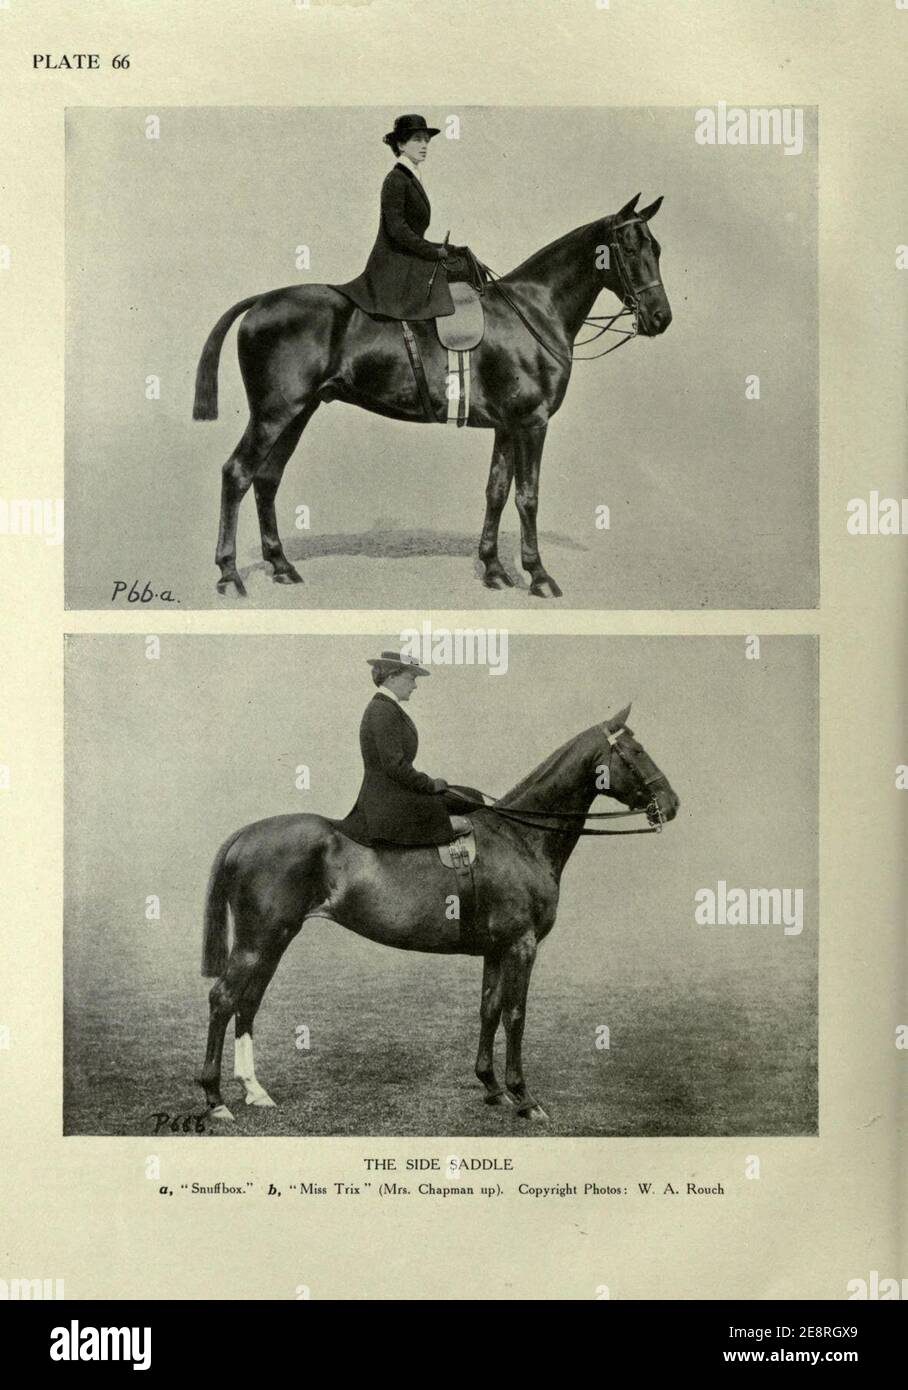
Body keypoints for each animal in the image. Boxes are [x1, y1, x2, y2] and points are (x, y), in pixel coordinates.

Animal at [192, 194, 671, 600]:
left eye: (658, 249)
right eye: (630, 249)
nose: (660, 318)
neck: (532, 311)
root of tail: (262, 301)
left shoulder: (506, 426)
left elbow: (497, 491)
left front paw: (493, 569)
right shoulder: (532, 423)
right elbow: (527, 497)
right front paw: (538, 575)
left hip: (298, 412)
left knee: (267, 478)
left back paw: (281, 565)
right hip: (273, 413)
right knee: (237, 473)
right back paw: (230, 574)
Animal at [197, 705, 679, 1124]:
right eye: (635, 751)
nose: (672, 804)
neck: (519, 837)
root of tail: (246, 834)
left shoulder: (496, 950)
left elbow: (489, 1008)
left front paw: (492, 1088)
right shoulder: (521, 946)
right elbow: (516, 1015)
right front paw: (524, 1098)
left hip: (274, 939)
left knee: (248, 1003)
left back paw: (255, 1091)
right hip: (259, 939)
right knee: (224, 999)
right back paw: (215, 1098)